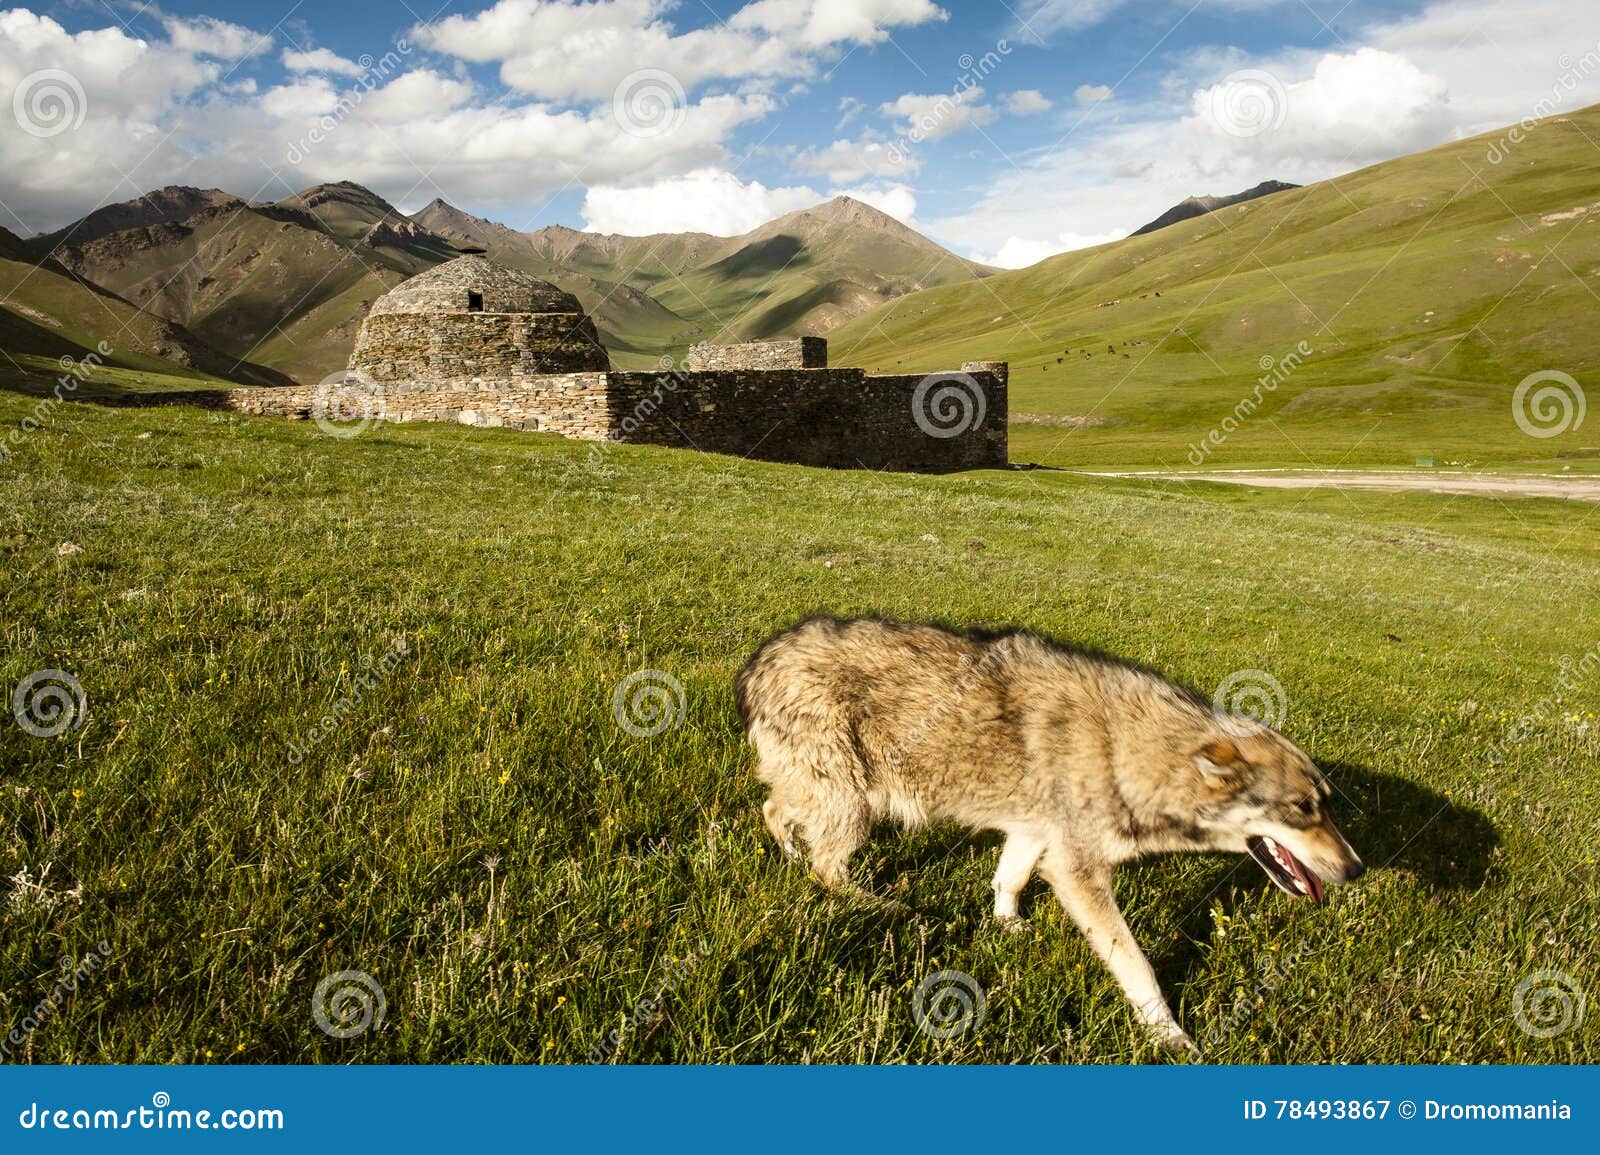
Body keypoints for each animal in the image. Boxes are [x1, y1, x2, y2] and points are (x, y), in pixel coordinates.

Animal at [734, 617, 1365, 1053]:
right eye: (1303, 809)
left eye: (1326, 806)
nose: (1358, 868)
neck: (1130, 752)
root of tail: (761, 657)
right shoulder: (1078, 870)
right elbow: (1138, 967)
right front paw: (1168, 1035)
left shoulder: (1037, 832)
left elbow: (1008, 880)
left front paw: (1007, 926)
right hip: (854, 805)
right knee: (825, 868)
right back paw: (872, 901)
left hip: (831, 796)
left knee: (773, 811)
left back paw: (791, 853)